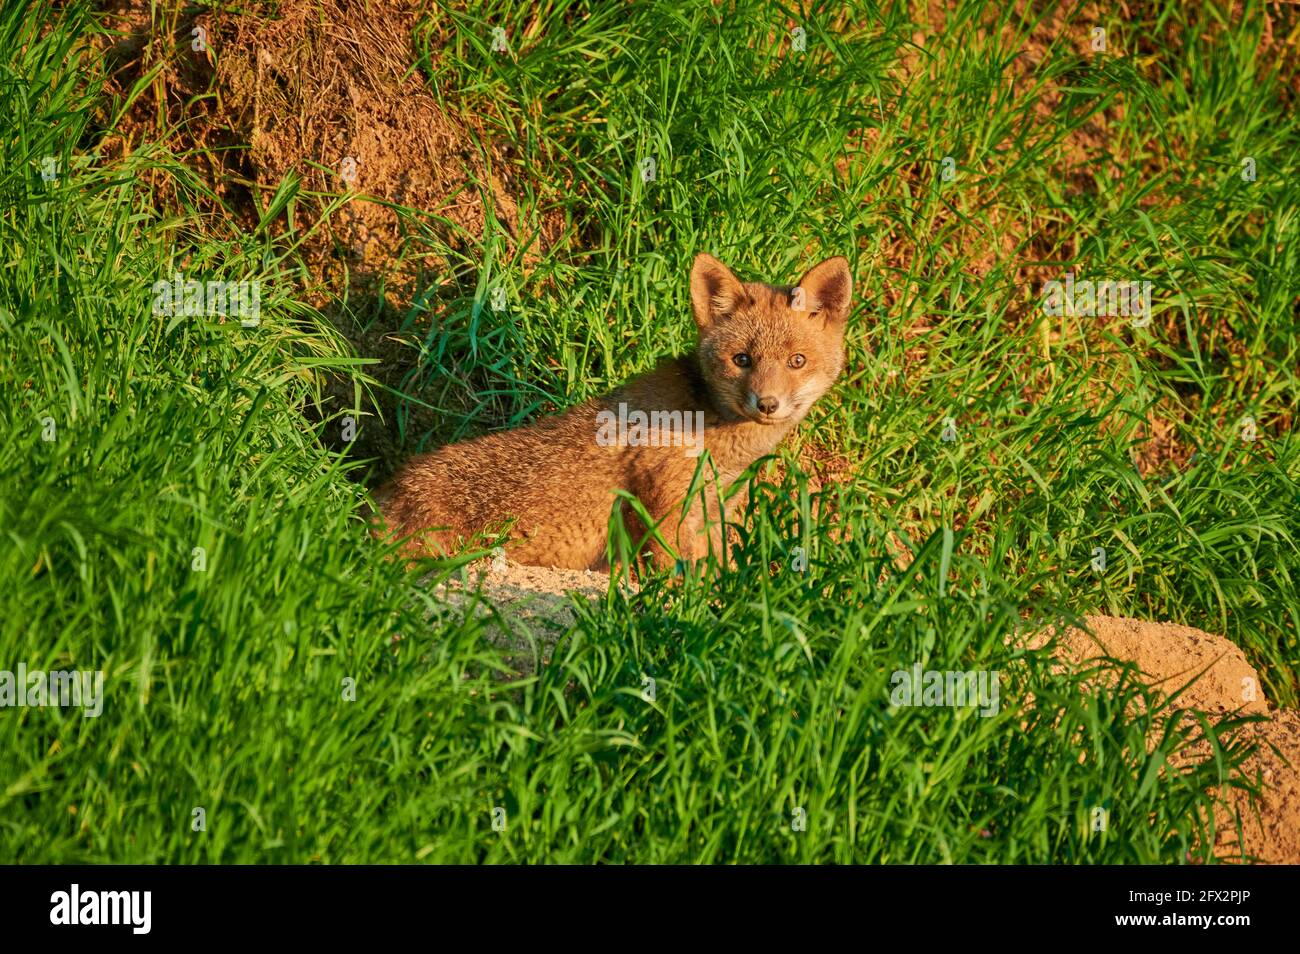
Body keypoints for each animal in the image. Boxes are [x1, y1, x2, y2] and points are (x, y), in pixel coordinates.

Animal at [376, 253, 853, 571]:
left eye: (796, 361)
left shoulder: (713, 510)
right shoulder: (666, 506)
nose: (767, 404)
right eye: (742, 360)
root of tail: (381, 496)